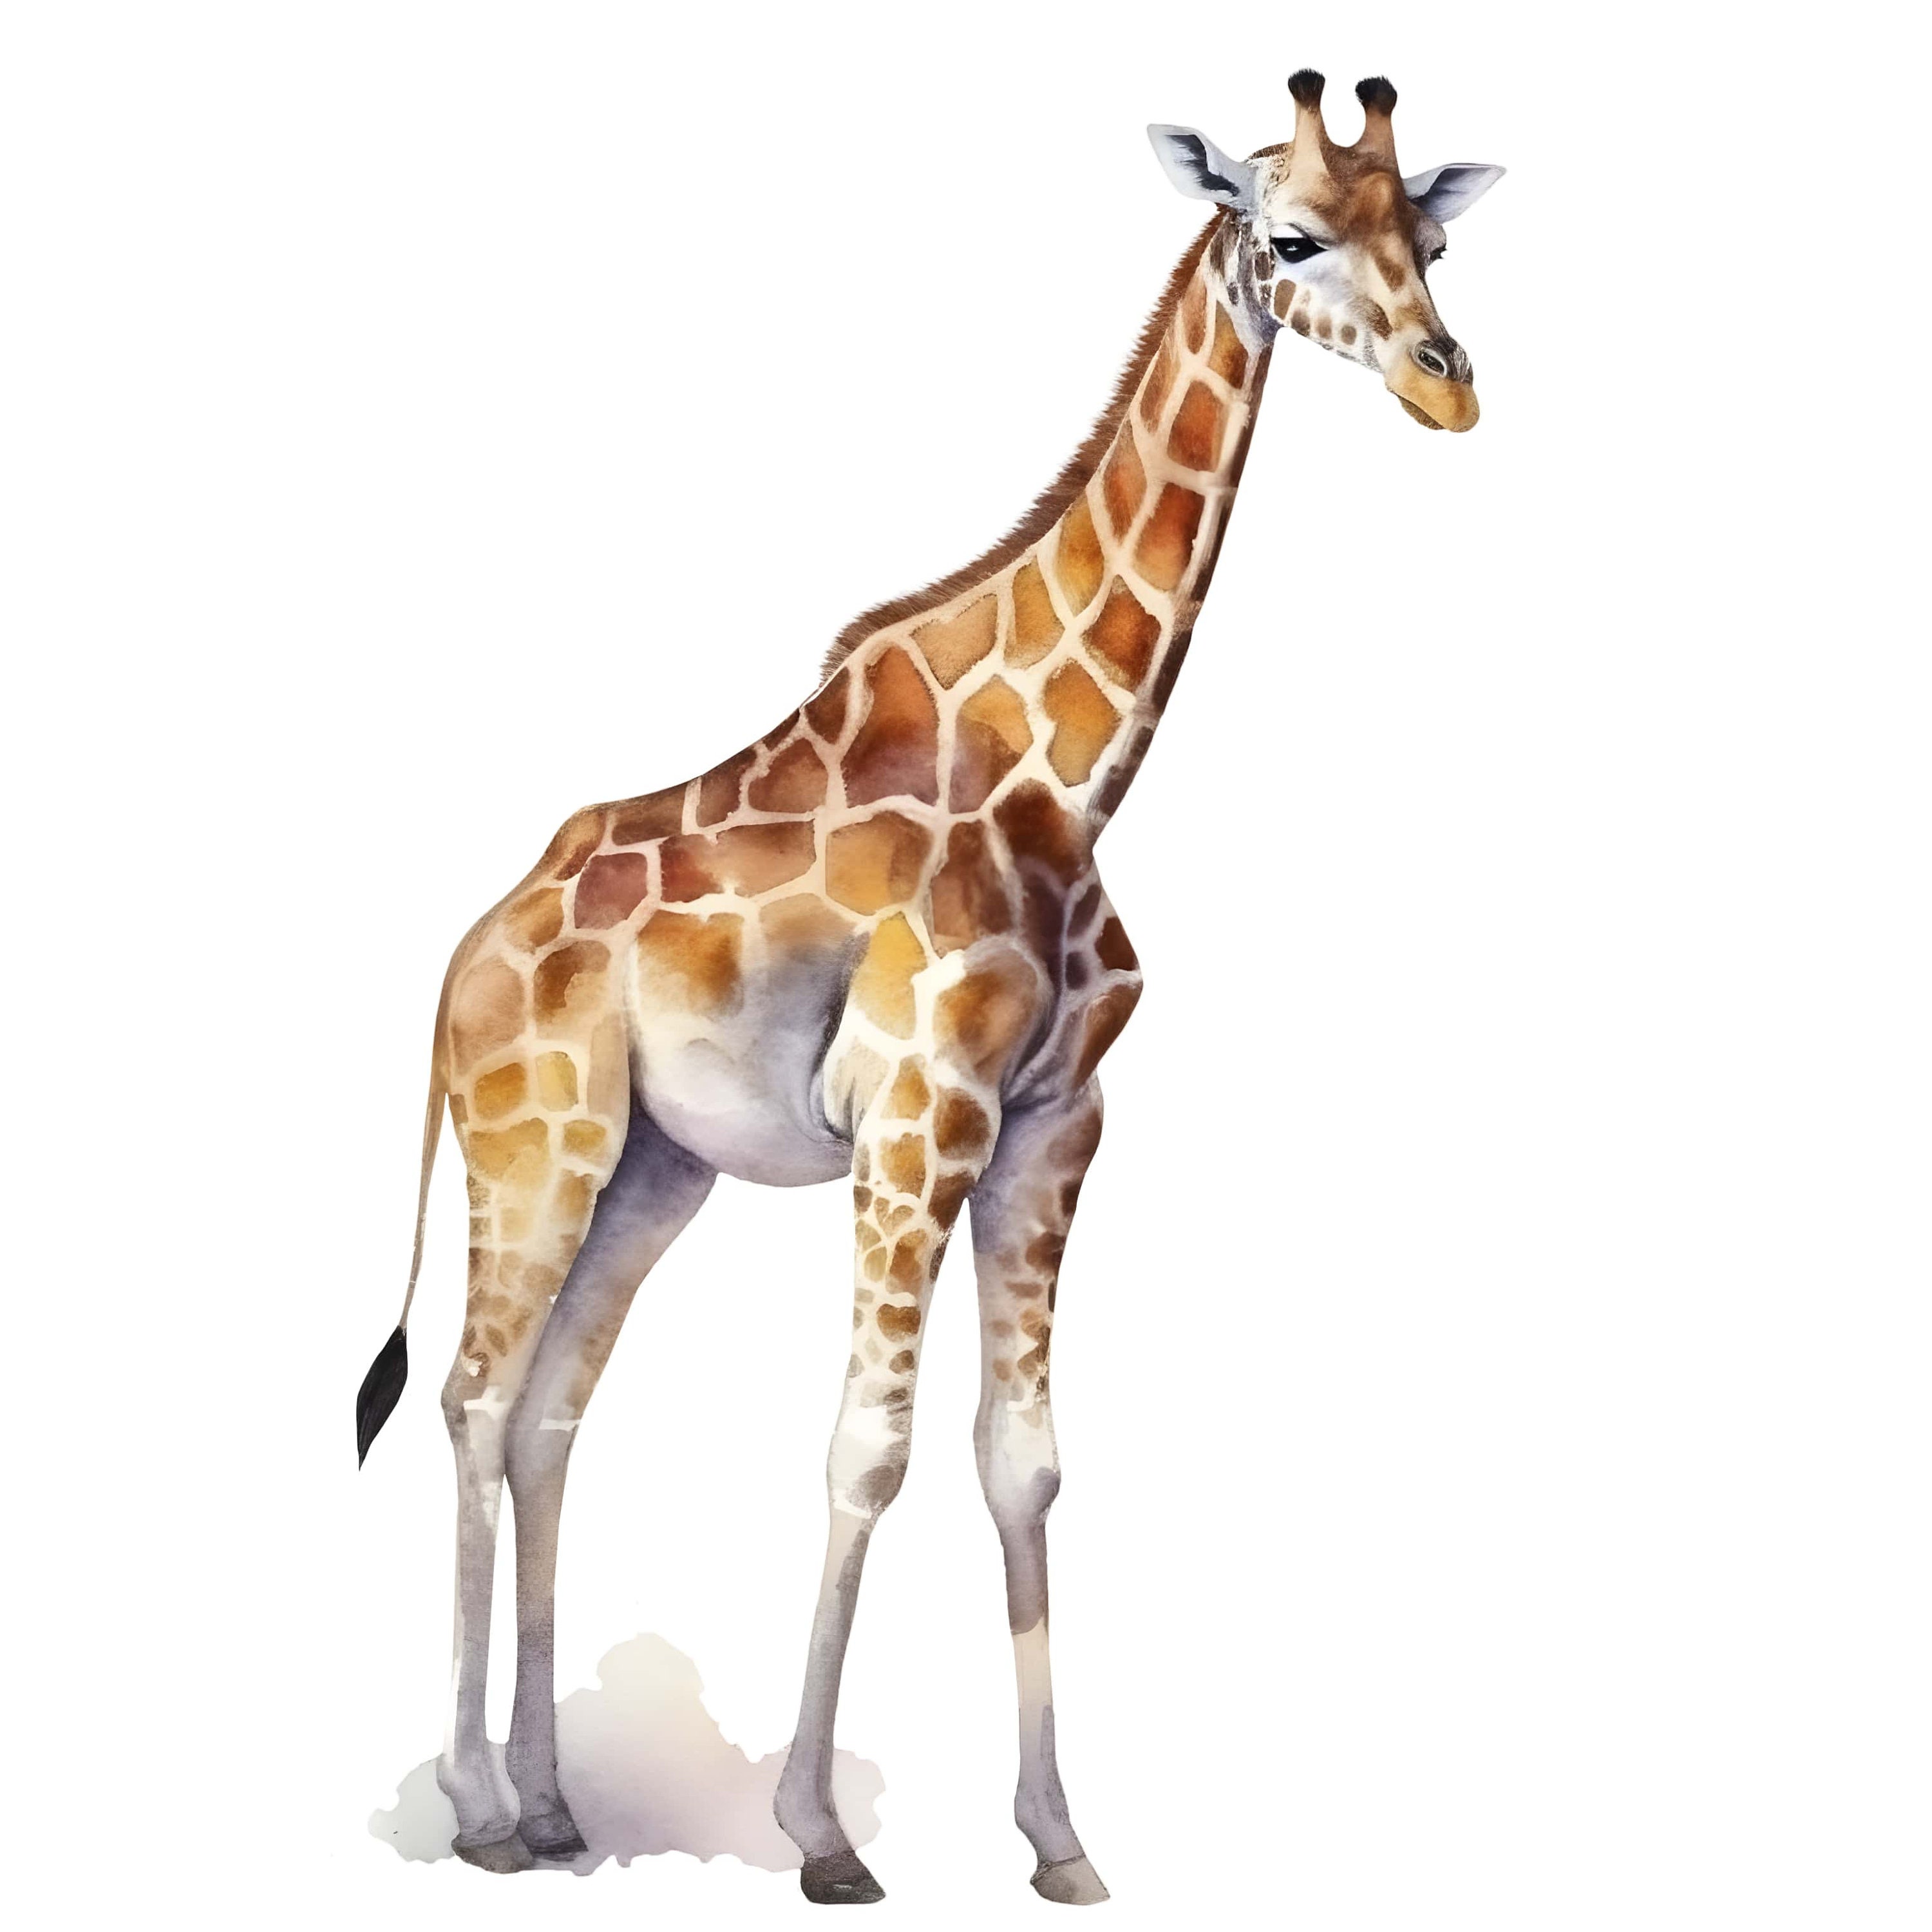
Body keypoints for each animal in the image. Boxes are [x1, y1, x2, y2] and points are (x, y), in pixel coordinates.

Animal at [356, 70, 1504, 1903]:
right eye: (1288, 235)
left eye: (1436, 239)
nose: (1444, 383)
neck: (1070, 770)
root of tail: (460, 959)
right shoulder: (918, 1119)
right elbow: (869, 1446)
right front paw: (822, 1835)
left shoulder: (1054, 1123)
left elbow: (1020, 1462)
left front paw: (1061, 1840)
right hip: (531, 1144)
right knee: (469, 1399)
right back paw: (475, 1809)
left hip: (650, 1172)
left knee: (545, 1414)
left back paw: (548, 1803)